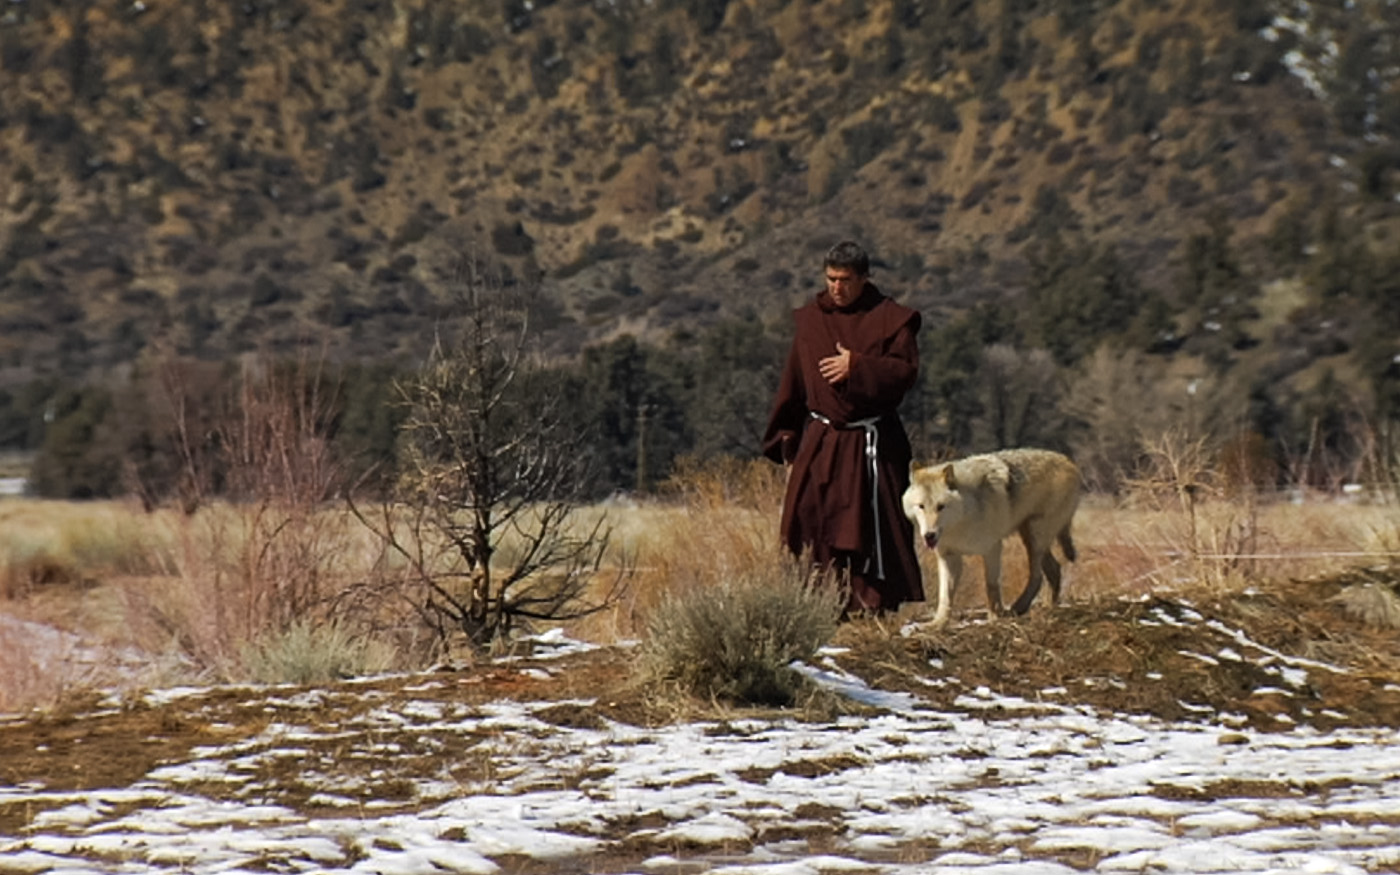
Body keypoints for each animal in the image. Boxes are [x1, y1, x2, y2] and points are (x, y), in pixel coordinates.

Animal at [901, 448, 1081, 629]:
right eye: (921, 506)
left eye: (940, 507)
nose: (929, 535)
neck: (963, 518)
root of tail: (1068, 461)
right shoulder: (949, 557)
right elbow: (945, 595)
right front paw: (937, 623)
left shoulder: (992, 548)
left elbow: (991, 586)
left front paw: (994, 618)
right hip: (1030, 538)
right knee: (1054, 569)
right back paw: (1048, 606)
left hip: (1035, 537)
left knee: (1037, 577)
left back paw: (1019, 607)